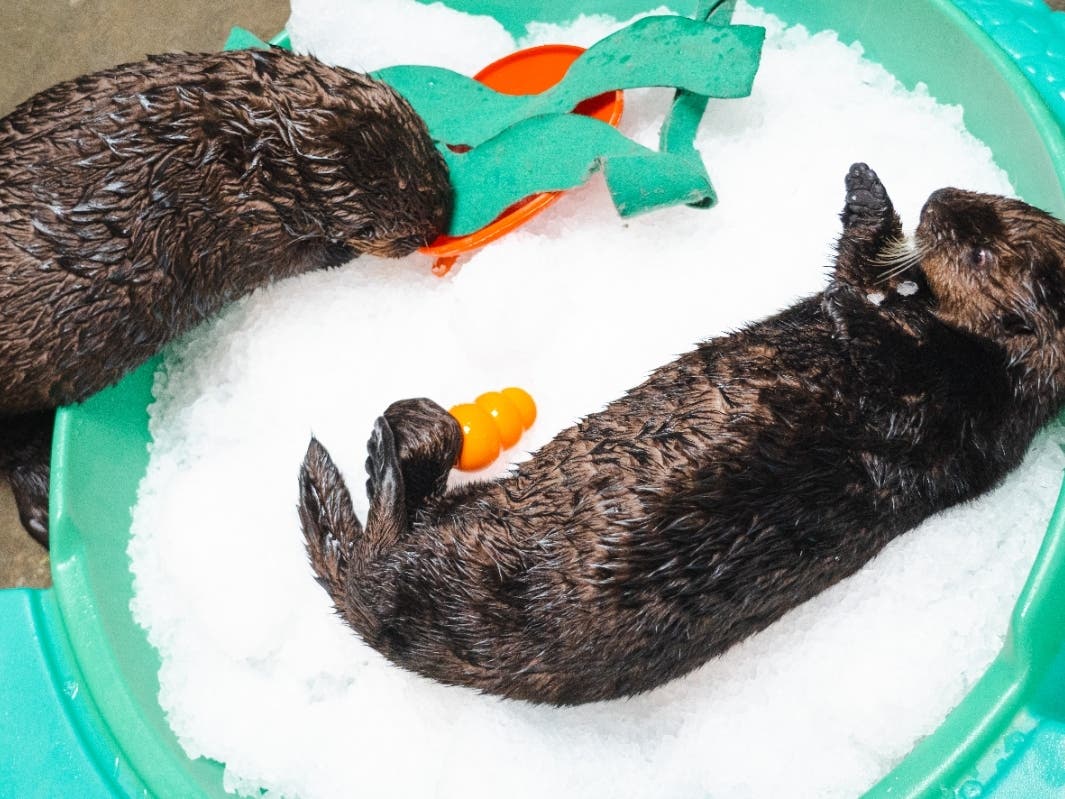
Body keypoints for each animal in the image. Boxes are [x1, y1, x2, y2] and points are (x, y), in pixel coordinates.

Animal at [298, 163, 1065, 705]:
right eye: (989, 200)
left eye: (979, 249)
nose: (937, 199)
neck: (970, 351)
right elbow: (858, 274)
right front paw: (867, 190)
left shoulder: (954, 406)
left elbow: (865, 319)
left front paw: (861, 286)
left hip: (449, 575)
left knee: (387, 532)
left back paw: (389, 443)